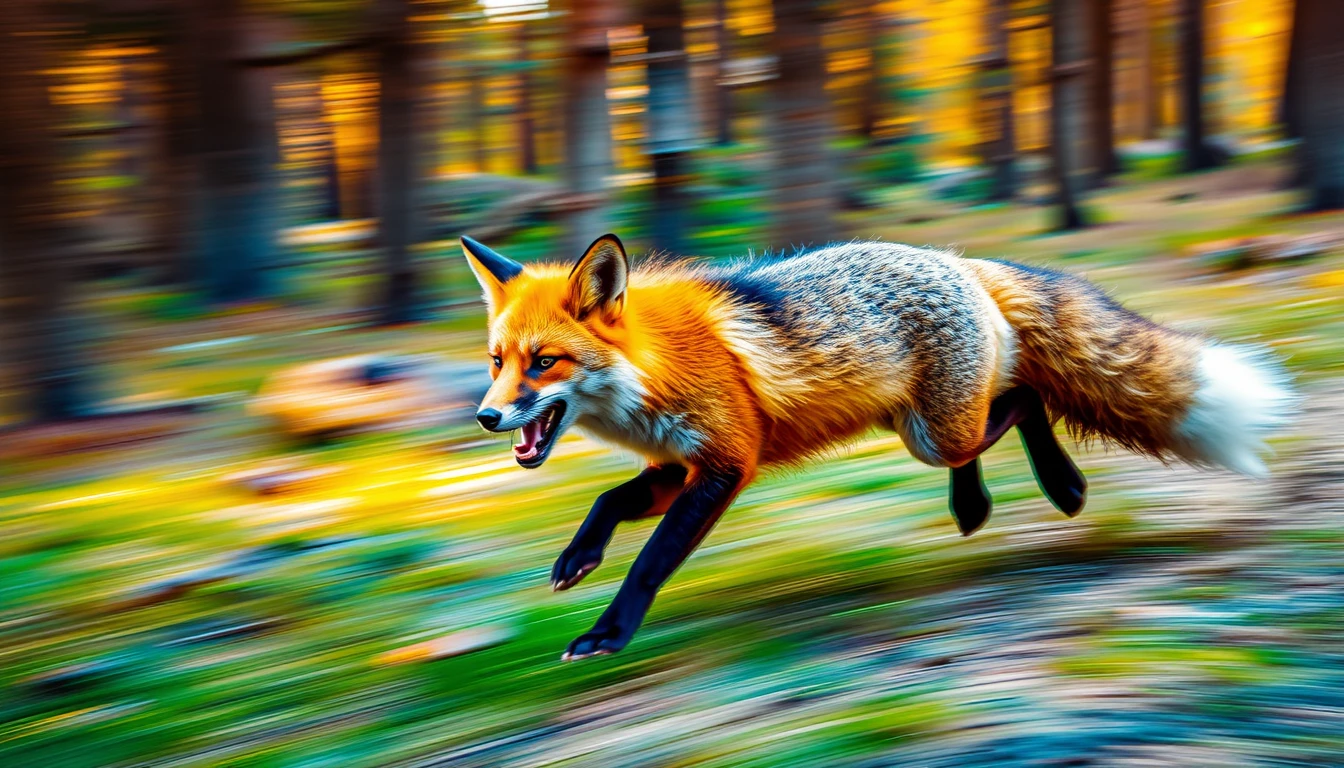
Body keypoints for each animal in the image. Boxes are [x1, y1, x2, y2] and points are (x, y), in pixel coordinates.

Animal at [459, 233, 1296, 661]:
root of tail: (960, 260)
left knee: (1024, 399)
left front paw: (609, 632)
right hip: (917, 426)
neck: (652, 371)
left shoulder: (726, 462)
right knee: (1005, 412)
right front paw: (578, 559)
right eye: (498, 361)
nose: (486, 418)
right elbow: (607, 501)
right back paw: (976, 505)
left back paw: (1059, 487)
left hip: (935, 429)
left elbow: (651, 562)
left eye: (545, 362)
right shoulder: (675, 467)